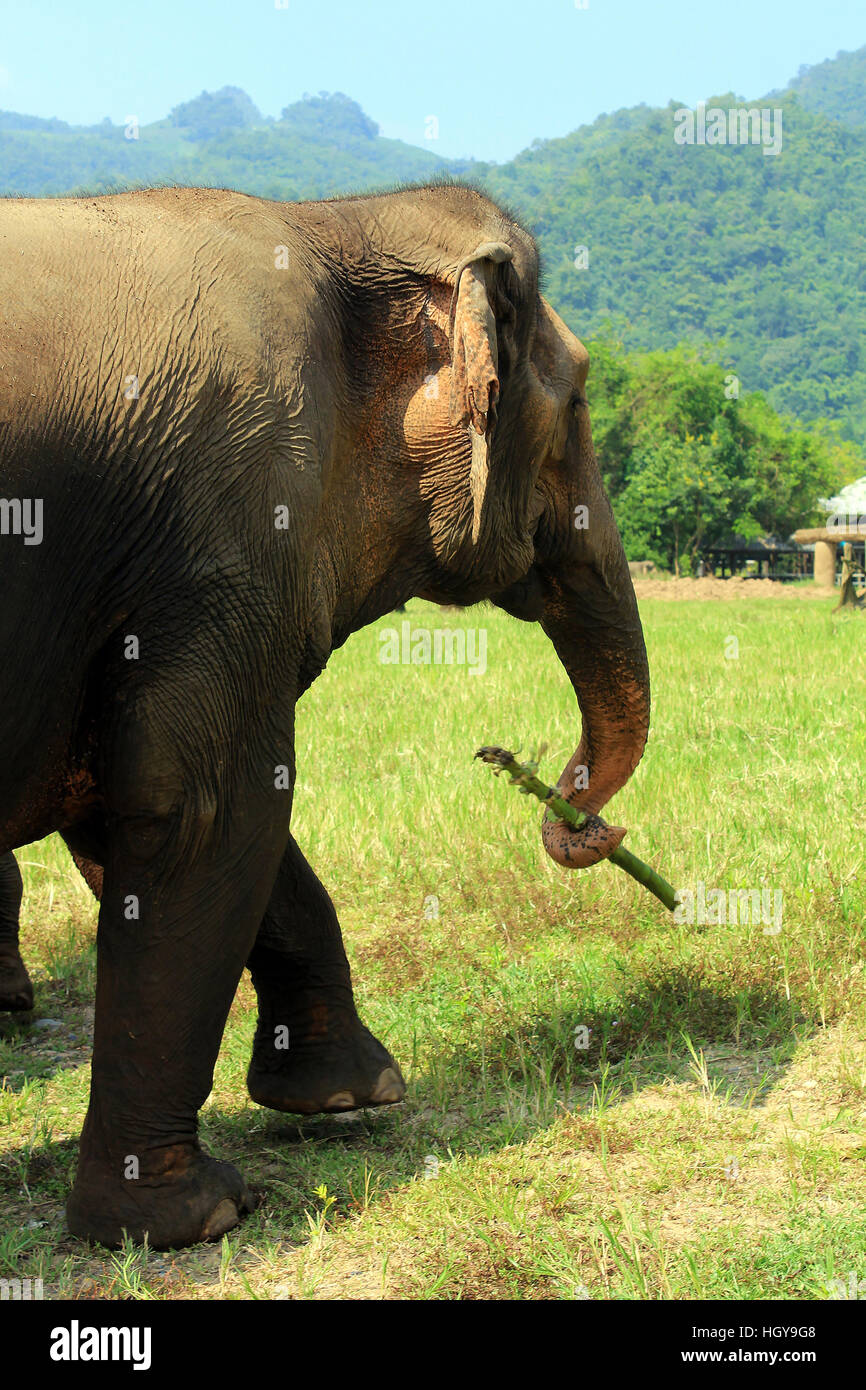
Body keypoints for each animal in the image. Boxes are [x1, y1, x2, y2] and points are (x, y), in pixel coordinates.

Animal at [0, 182, 650, 1248]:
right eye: (582, 404)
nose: (583, 823)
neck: (336, 221)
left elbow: (140, 816)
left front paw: (352, 1098)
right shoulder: (230, 525)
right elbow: (206, 809)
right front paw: (196, 1216)